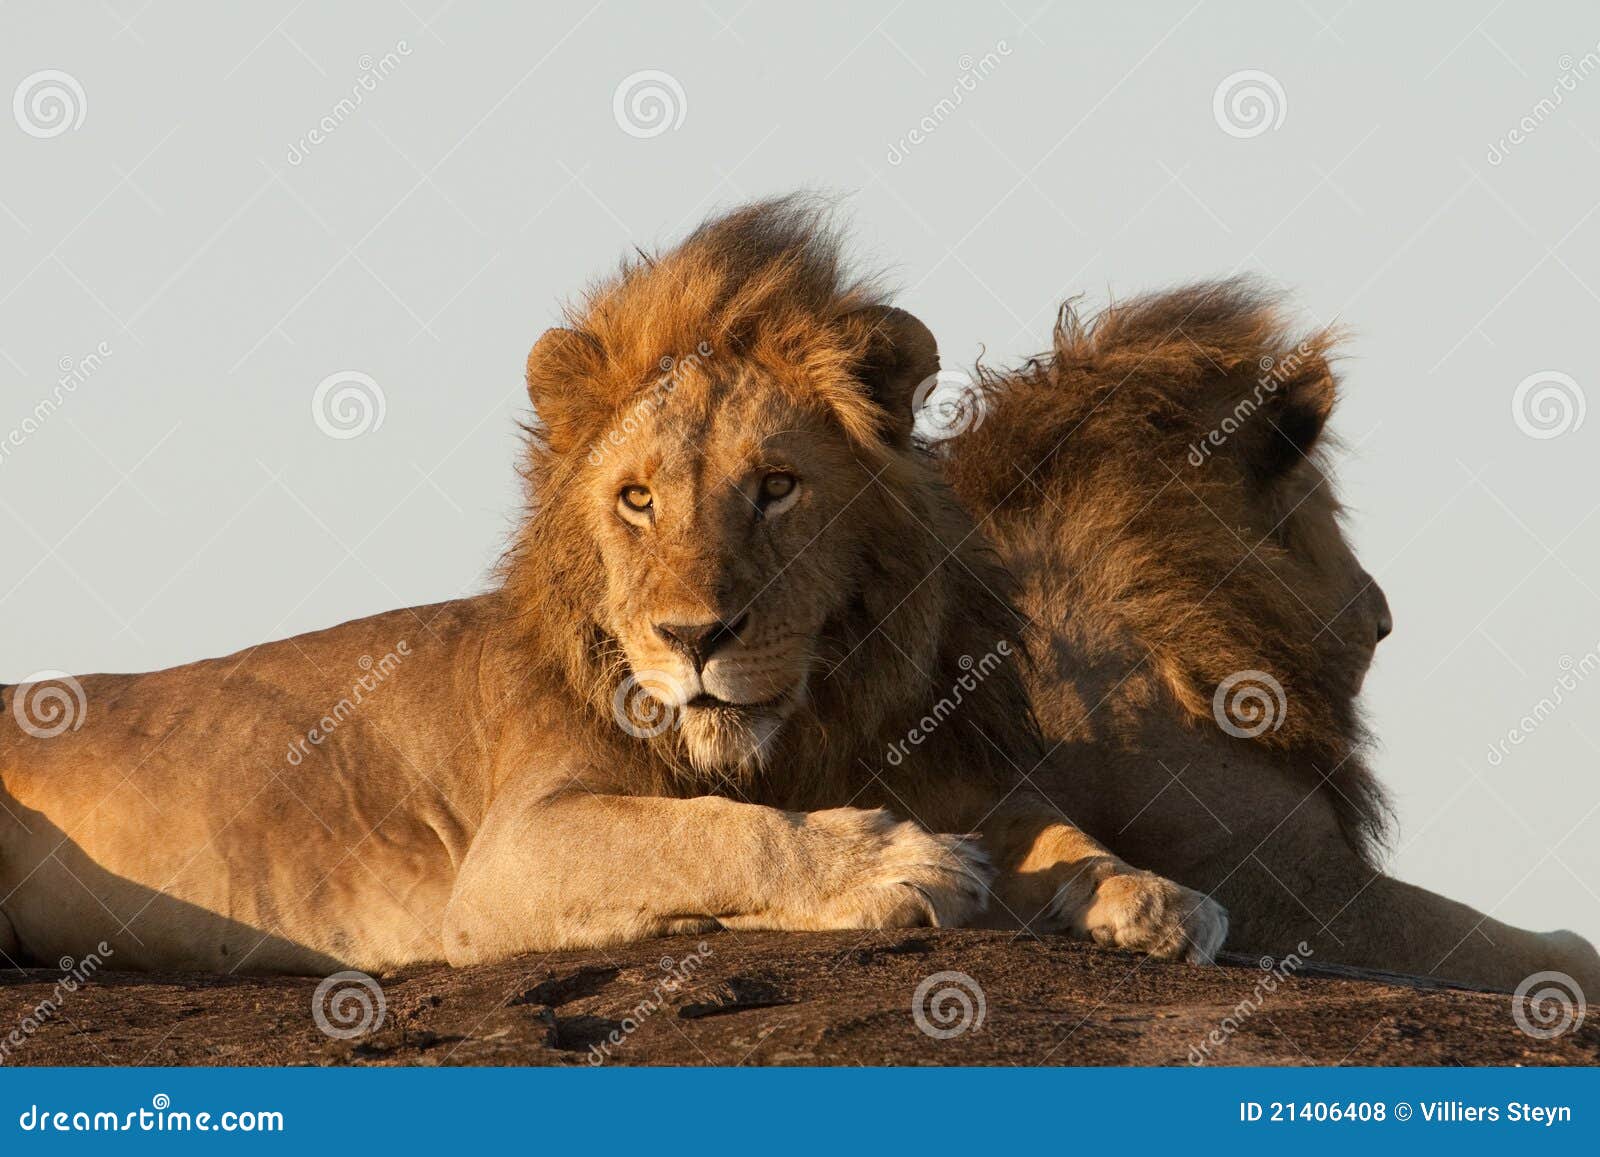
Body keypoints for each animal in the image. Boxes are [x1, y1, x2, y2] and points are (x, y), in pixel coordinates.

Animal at [0, 198, 1224, 975]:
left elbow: (1051, 825)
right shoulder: (508, 851)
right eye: (636, 500)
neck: (796, 736)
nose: (695, 635)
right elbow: (709, 832)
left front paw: (1153, 895)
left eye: (776, 487)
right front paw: (899, 861)